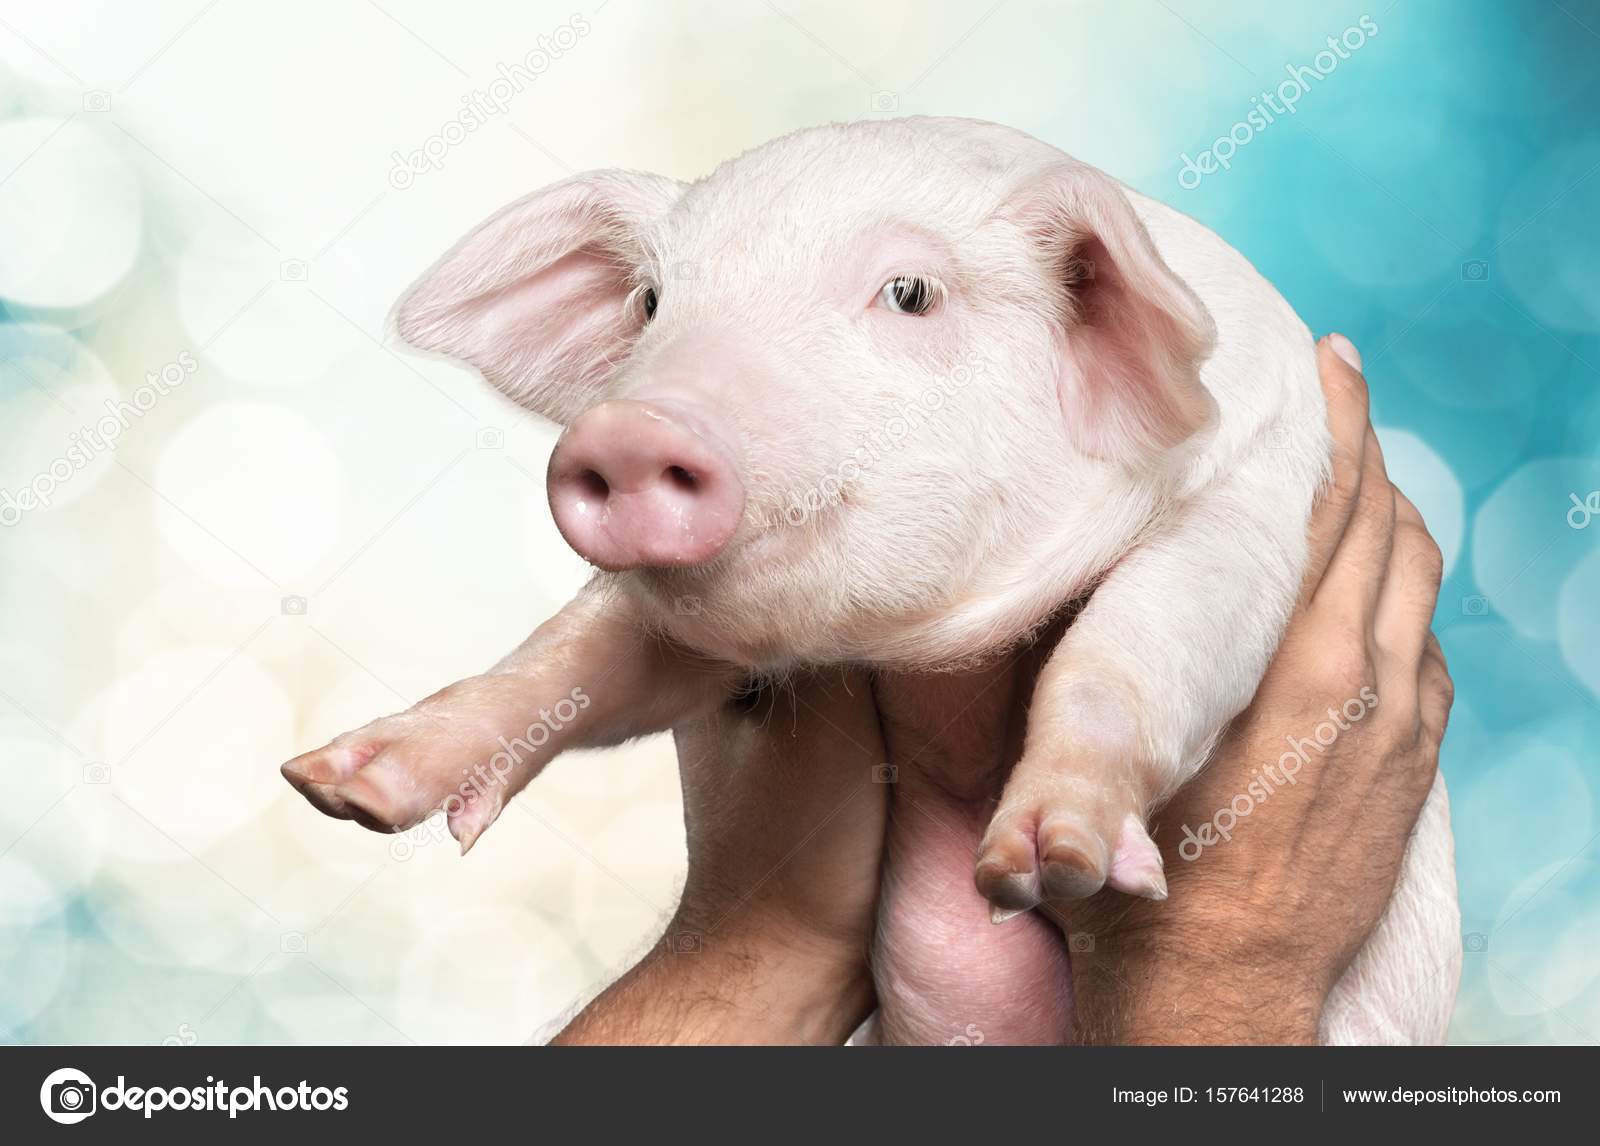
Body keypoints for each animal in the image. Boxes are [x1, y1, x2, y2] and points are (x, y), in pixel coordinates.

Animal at [281, 117, 1459, 1044]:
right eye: (653, 303)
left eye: (909, 292)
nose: (626, 432)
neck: (935, 642)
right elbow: (572, 661)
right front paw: (338, 787)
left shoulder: (1258, 501)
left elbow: (1140, 641)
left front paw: (1045, 857)